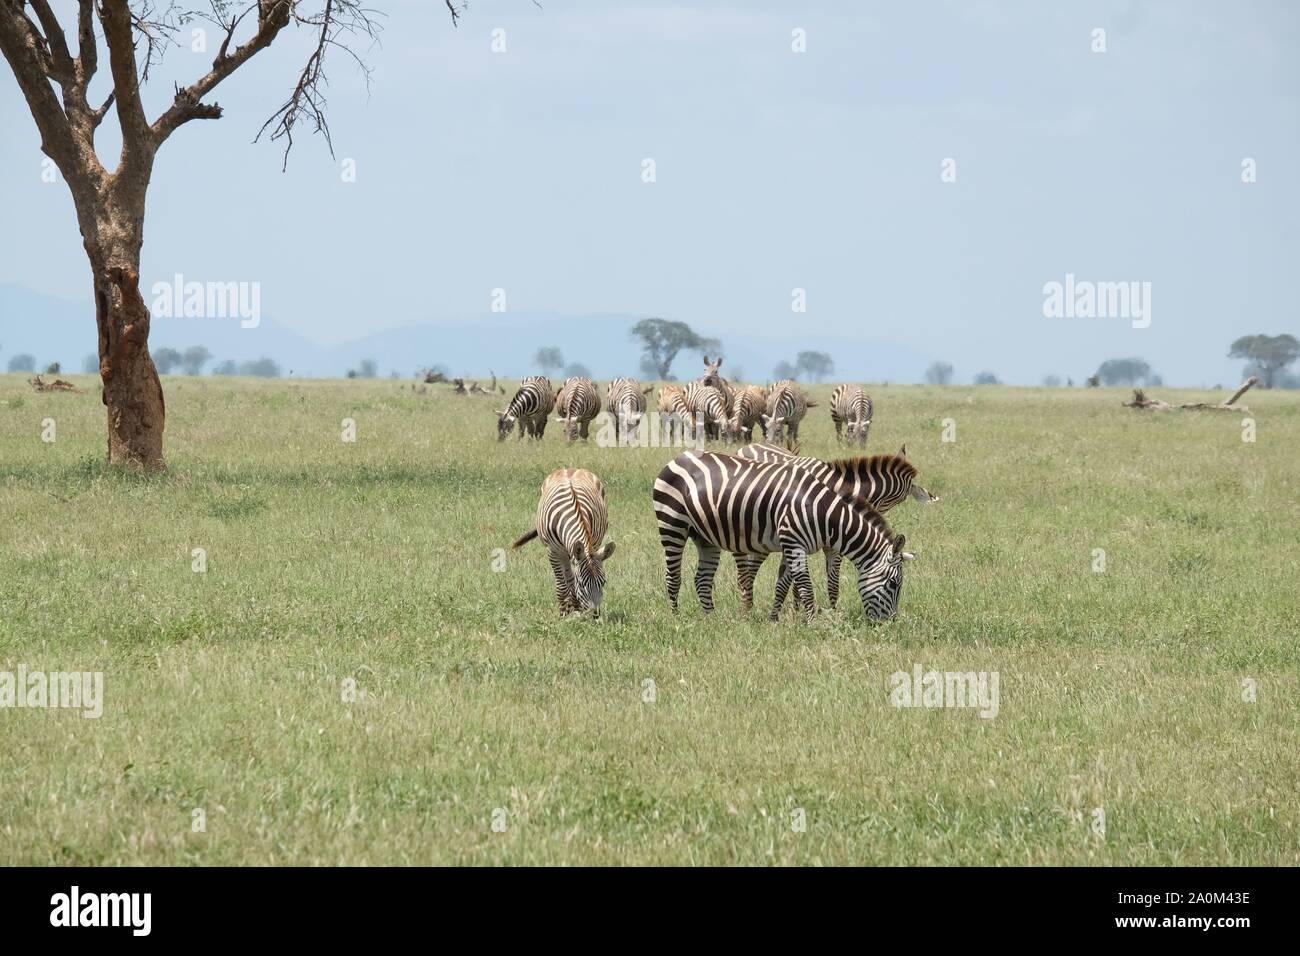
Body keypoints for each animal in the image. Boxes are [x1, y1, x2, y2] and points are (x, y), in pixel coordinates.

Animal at [512, 467, 616, 617]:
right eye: (582, 584)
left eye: (603, 582)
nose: (595, 615)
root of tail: (571, 468)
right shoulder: (553, 551)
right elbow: (561, 584)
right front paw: (563, 614)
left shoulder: (593, 545)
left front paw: (576, 610)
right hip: (562, 552)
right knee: (568, 577)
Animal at [653, 452, 913, 623]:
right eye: (893, 584)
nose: (889, 624)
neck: (822, 512)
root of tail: (680, 456)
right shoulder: (794, 544)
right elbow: (805, 587)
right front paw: (813, 623)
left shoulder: (794, 545)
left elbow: (782, 585)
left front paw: (774, 619)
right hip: (672, 524)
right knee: (673, 577)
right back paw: (676, 618)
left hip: (705, 536)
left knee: (702, 580)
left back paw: (710, 620)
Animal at [733, 441, 938, 610]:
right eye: (897, 501)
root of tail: (751, 445)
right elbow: (816, 581)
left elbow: (815, 582)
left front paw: (810, 611)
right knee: (746, 569)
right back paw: (746, 608)